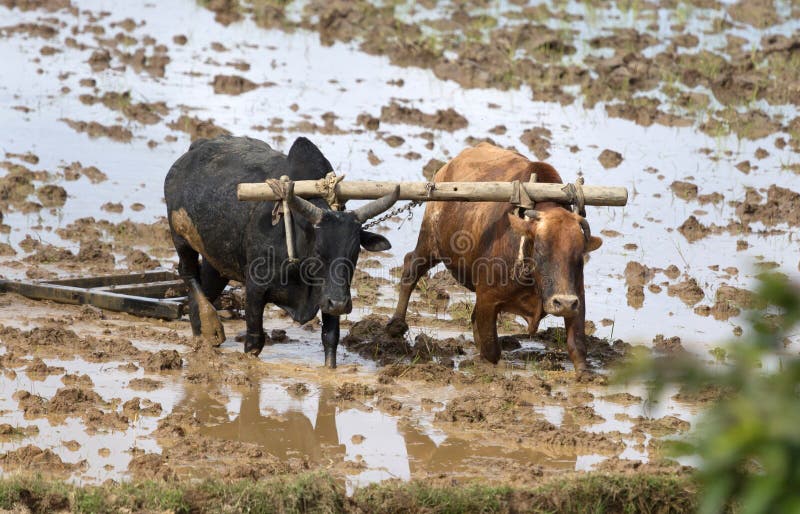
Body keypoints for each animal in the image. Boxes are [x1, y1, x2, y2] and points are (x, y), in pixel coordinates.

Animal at [165, 135, 399, 368]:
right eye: (318, 252)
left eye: (354, 253)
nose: (340, 304)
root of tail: (191, 152)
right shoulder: (255, 289)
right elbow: (254, 341)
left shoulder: (329, 296)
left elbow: (331, 339)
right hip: (180, 237)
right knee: (187, 273)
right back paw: (212, 325)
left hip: (217, 260)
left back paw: (203, 340)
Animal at [389, 143, 602, 375]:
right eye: (541, 249)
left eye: (579, 254)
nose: (562, 302)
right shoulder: (488, 299)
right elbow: (492, 349)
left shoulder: (577, 298)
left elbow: (577, 345)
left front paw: (585, 374)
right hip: (429, 243)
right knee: (411, 268)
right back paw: (396, 325)